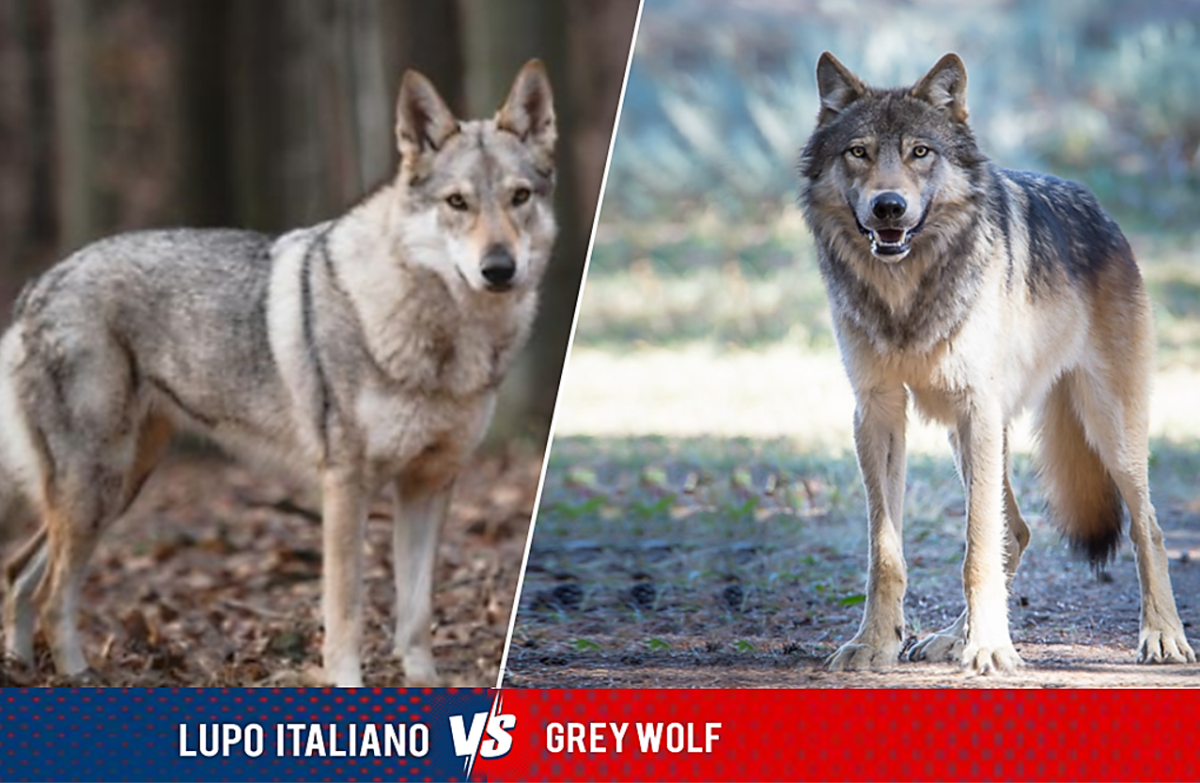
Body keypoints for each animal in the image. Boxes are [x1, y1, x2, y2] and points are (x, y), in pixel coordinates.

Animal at [0, 60, 557, 687]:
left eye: (519, 197)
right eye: (457, 202)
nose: (499, 269)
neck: (439, 340)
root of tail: (37, 286)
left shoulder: (429, 485)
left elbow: (415, 615)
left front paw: (425, 686)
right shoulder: (345, 485)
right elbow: (346, 611)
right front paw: (347, 683)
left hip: (117, 485)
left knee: (17, 574)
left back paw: (21, 668)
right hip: (98, 487)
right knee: (50, 594)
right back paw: (75, 678)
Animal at [798, 52, 1194, 675]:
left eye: (920, 152)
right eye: (858, 152)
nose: (889, 207)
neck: (907, 295)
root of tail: (1100, 211)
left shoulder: (976, 408)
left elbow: (977, 548)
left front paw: (990, 648)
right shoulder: (877, 411)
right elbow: (885, 552)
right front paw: (876, 643)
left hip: (1107, 428)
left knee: (1147, 528)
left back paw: (1162, 636)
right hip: (970, 437)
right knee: (1021, 531)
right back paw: (952, 636)